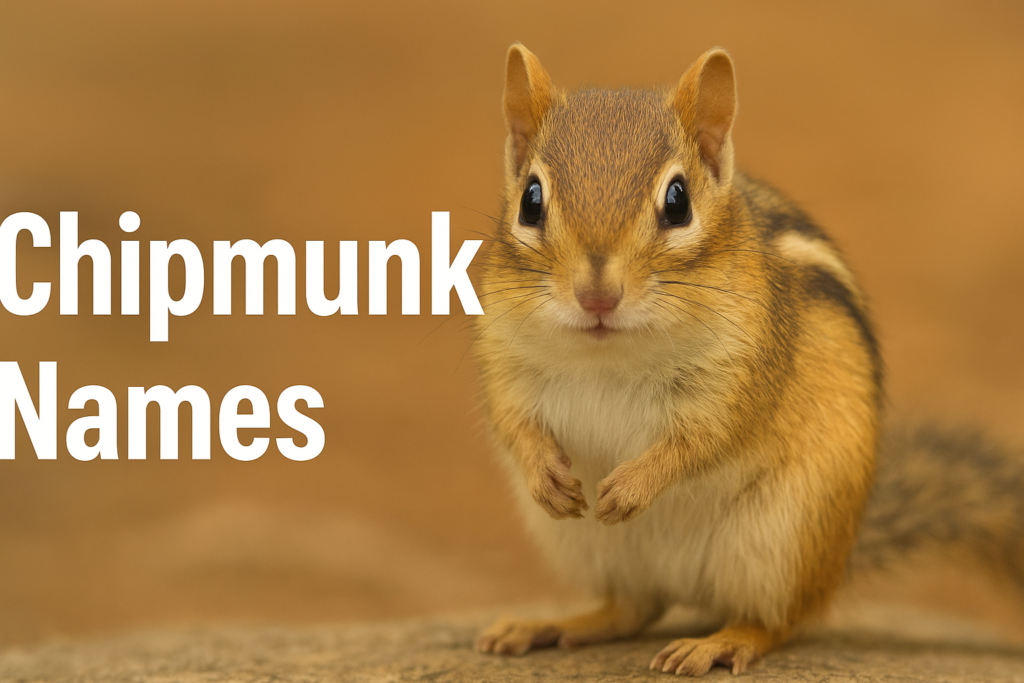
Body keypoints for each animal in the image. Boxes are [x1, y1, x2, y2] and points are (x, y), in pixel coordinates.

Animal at [471, 43, 1024, 676]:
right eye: (531, 201)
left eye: (678, 202)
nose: (597, 296)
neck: (607, 355)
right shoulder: (504, 355)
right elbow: (513, 422)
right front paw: (544, 473)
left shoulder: (742, 372)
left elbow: (704, 439)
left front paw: (632, 486)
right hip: (586, 546)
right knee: (632, 608)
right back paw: (549, 624)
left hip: (783, 541)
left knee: (778, 622)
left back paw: (719, 642)